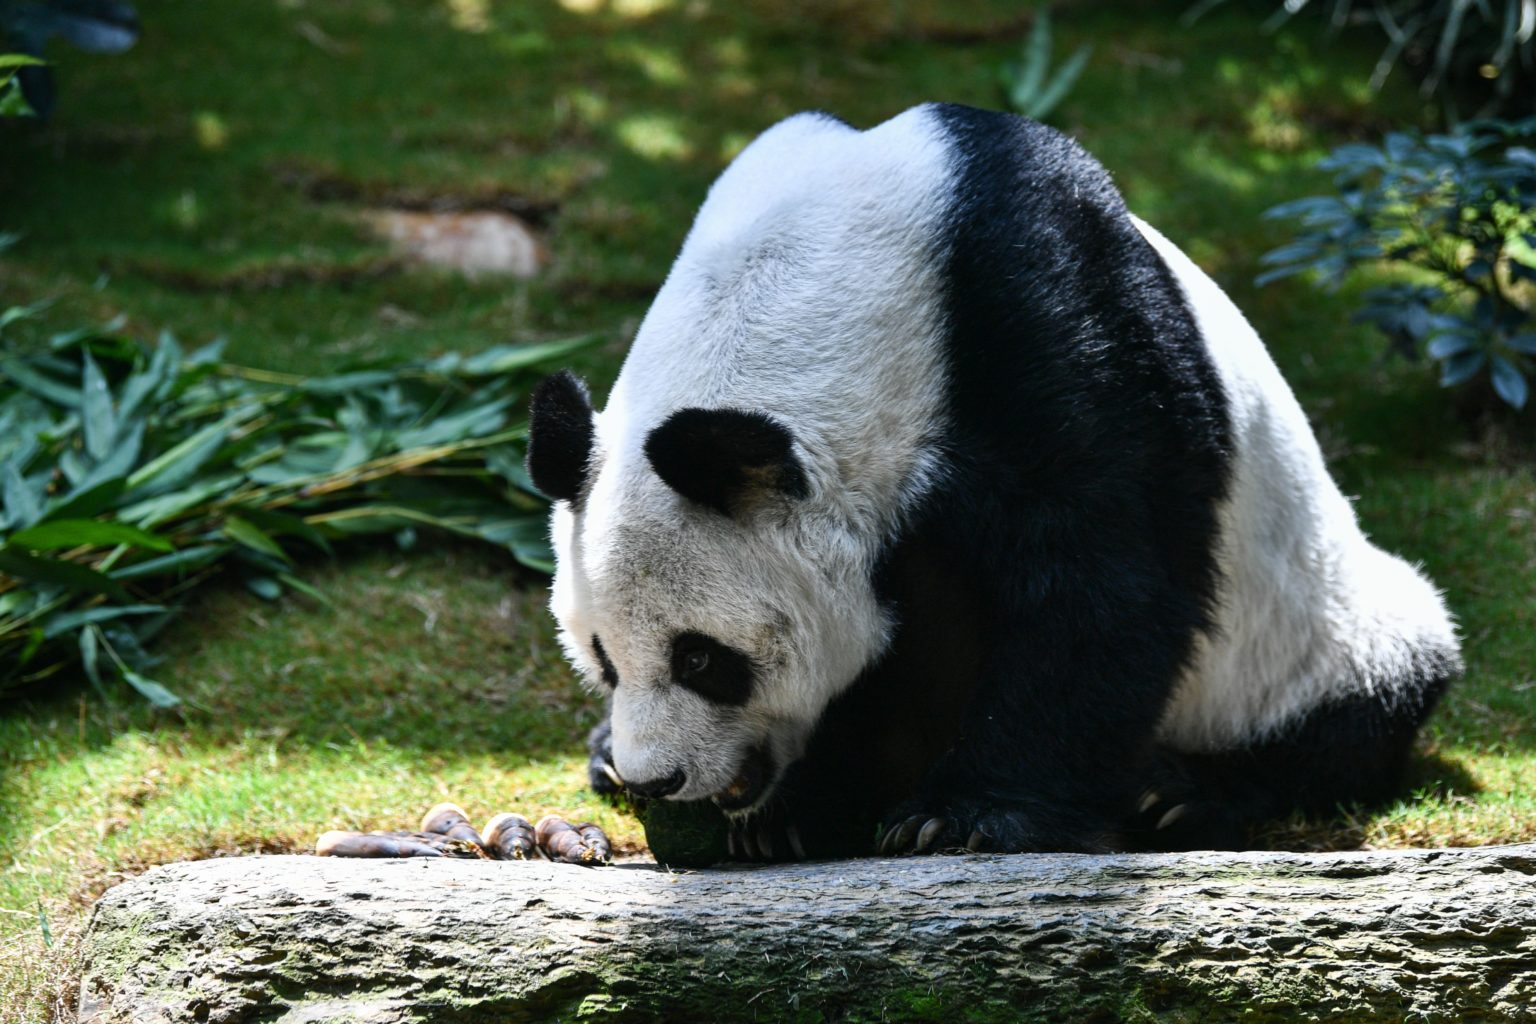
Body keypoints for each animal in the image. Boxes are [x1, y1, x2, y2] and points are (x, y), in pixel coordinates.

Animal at [524, 103, 1462, 859]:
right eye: (602, 656)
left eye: (703, 659)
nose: (658, 778)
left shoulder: (1045, 321)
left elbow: (1101, 573)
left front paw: (954, 817)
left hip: (1318, 632)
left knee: (1355, 708)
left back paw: (1181, 794)